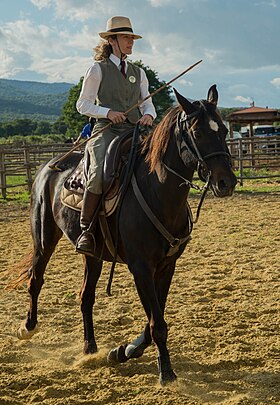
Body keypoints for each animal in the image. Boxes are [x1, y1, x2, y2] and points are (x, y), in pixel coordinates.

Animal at [13, 86, 236, 386]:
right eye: (198, 133)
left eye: (223, 130)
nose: (227, 182)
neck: (157, 191)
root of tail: (48, 167)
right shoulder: (140, 268)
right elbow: (157, 324)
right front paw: (166, 372)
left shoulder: (166, 266)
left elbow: (154, 319)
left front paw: (124, 350)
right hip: (44, 239)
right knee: (36, 279)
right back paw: (27, 328)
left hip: (93, 255)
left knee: (85, 296)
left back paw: (90, 348)